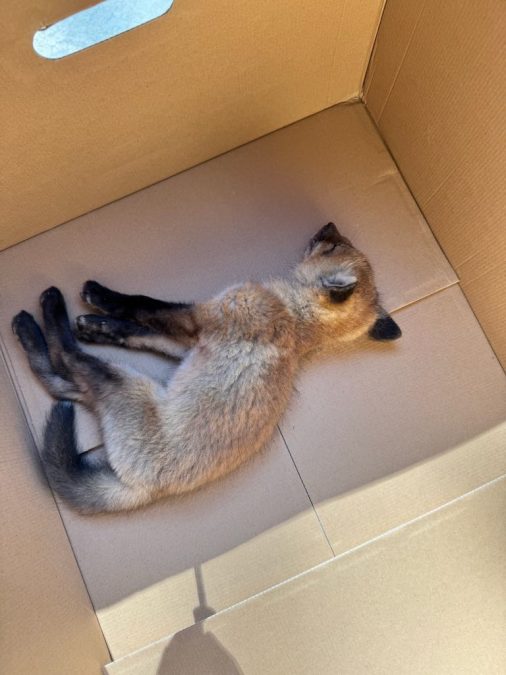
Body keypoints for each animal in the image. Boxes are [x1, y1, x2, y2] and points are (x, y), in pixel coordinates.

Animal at [12, 223, 401, 514]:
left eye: (333, 246)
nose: (328, 224)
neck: (294, 317)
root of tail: (144, 490)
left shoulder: (196, 320)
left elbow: (142, 304)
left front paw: (98, 298)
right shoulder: (189, 343)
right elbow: (137, 332)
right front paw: (100, 327)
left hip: (122, 381)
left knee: (66, 360)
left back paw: (41, 315)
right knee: (64, 384)